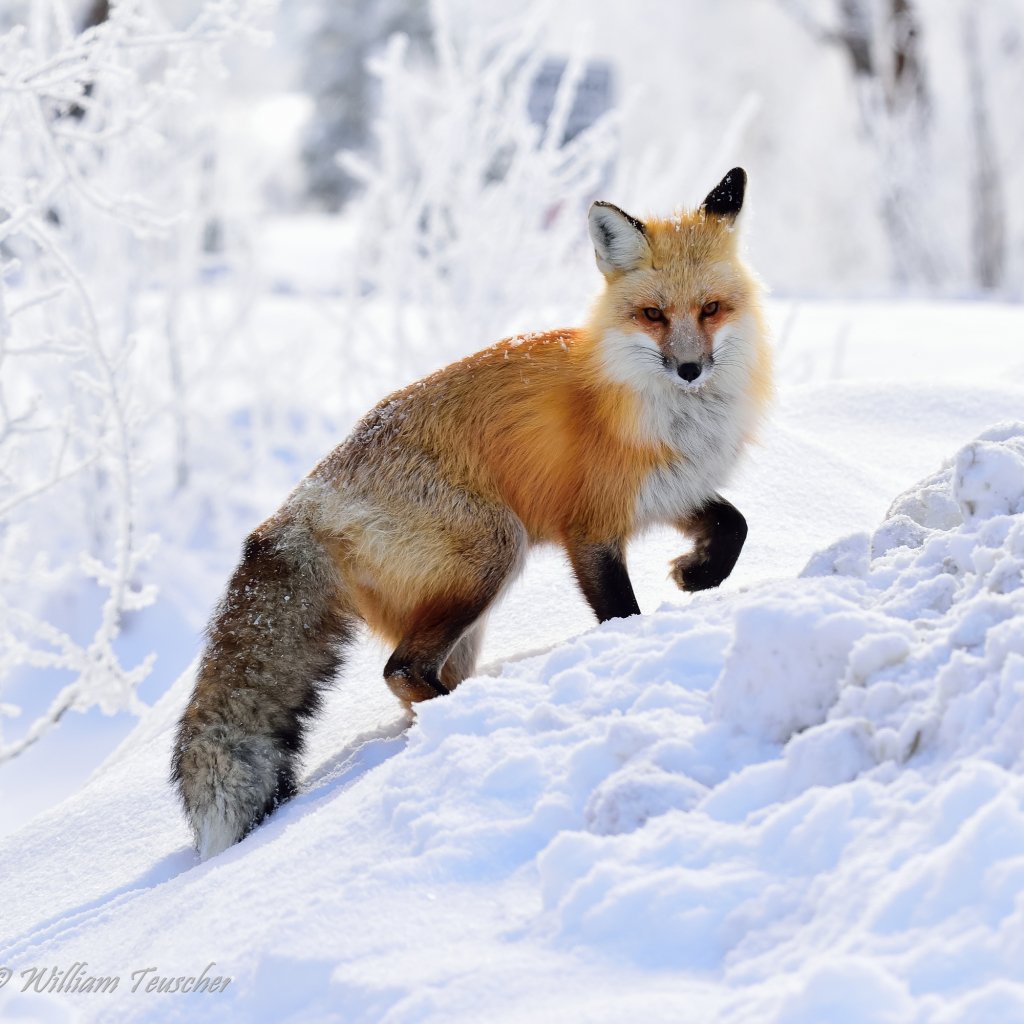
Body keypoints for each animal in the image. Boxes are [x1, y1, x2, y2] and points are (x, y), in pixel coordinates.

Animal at [171, 168, 773, 859]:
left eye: (711, 308)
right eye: (653, 315)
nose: (690, 368)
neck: (659, 411)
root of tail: (302, 502)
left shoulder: (671, 491)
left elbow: (734, 526)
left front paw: (696, 574)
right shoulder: (589, 529)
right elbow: (622, 612)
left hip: (464, 609)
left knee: (412, 677)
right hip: (491, 556)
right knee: (401, 669)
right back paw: (471, 710)